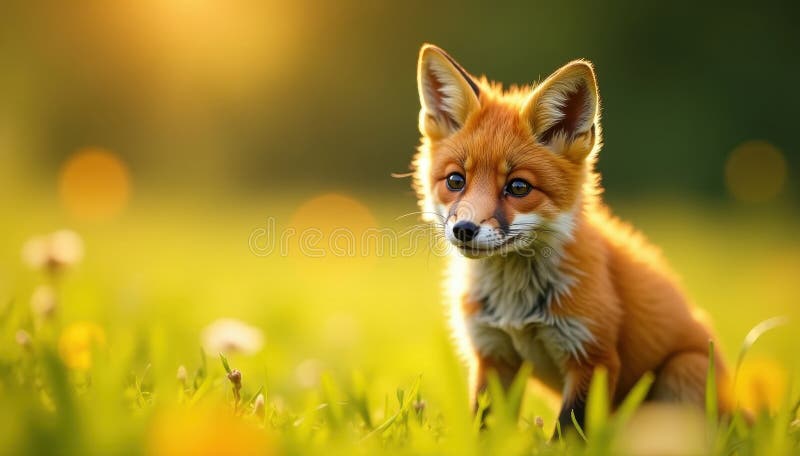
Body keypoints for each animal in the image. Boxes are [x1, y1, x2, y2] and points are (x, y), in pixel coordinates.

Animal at [411, 44, 730, 433]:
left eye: (518, 187)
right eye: (456, 180)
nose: (464, 230)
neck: (515, 305)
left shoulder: (592, 355)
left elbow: (567, 434)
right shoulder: (493, 354)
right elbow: (485, 428)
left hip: (685, 370)